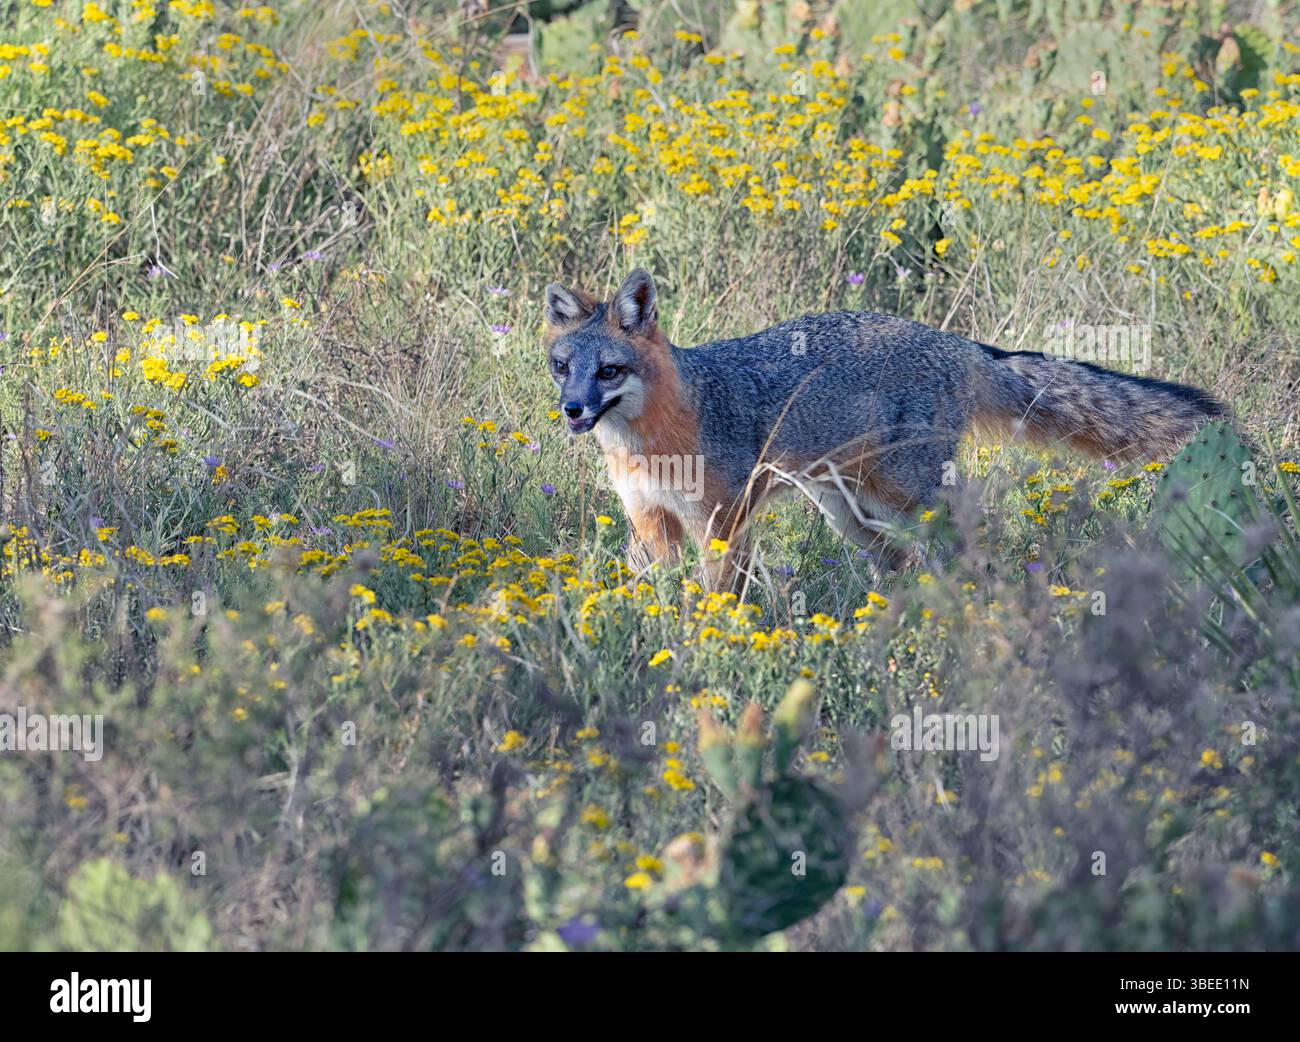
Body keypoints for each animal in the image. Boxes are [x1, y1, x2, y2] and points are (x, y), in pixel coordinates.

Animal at [544, 269, 1225, 591]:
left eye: (608, 371)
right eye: (561, 367)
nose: (573, 409)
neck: (645, 446)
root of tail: (956, 342)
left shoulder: (721, 521)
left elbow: (718, 594)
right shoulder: (650, 521)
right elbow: (651, 588)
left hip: (907, 497)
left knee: (976, 536)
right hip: (854, 513)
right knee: (899, 564)